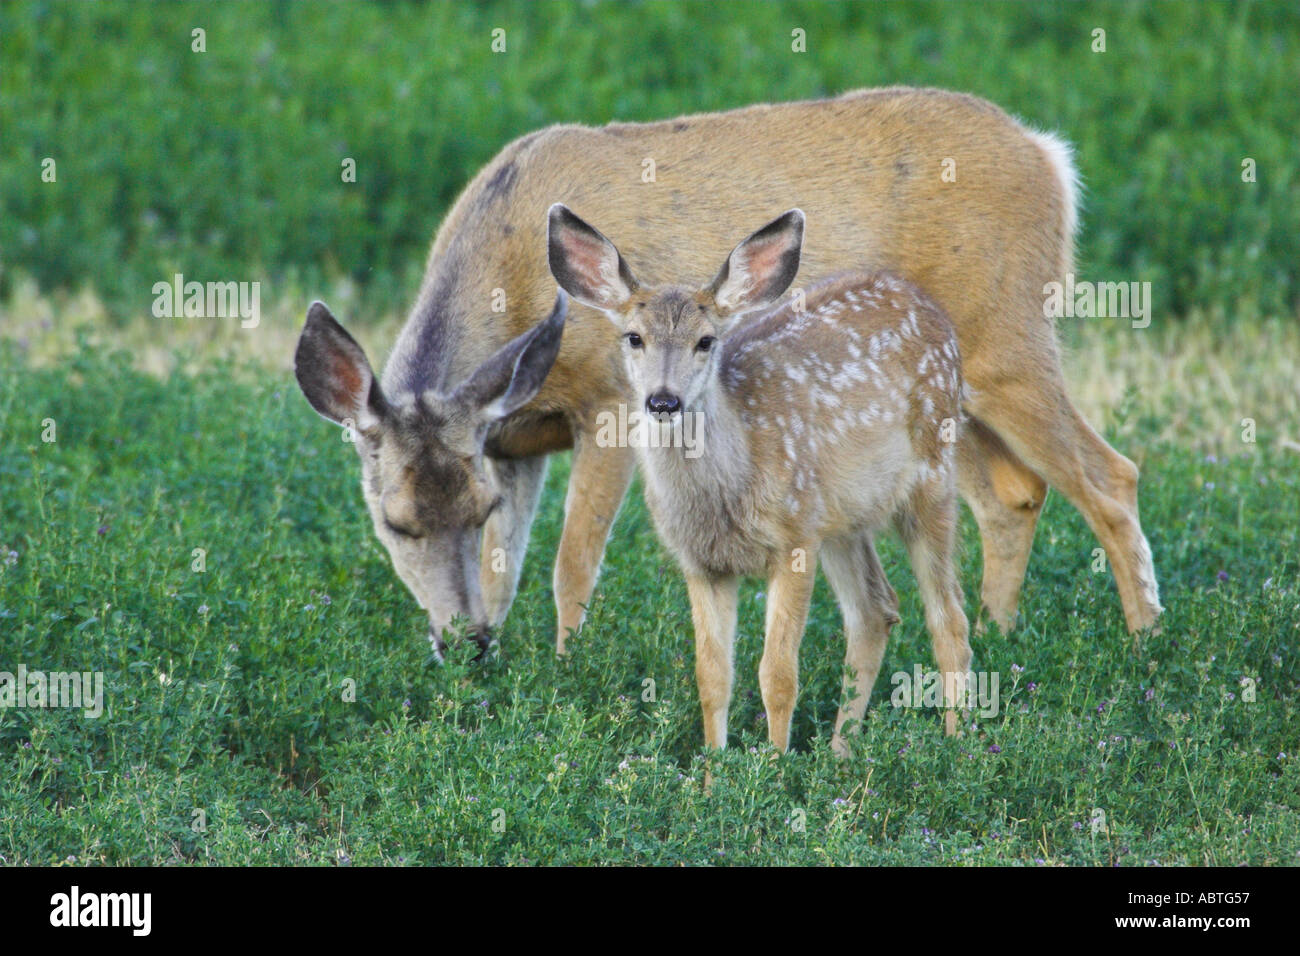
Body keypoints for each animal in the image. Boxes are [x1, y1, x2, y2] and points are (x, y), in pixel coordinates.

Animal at [293, 87, 1162, 662]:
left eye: (463, 513)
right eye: (395, 524)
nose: (464, 646)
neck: (513, 279)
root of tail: (1050, 158)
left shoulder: (608, 400)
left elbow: (572, 563)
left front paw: (567, 668)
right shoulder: (510, 436)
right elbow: (507, 567)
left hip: (1006, 333)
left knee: (1111, 474)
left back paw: (1143, 649)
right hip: (944, 392)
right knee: (1015, 493)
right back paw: (998, 638)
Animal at [548, 203, 972, 753]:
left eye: (706, 341)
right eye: (634, 337)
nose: (664, 401)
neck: (726, 491)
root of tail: (931, 307)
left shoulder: (793, 540)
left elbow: (777, 675)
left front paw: (770, 766)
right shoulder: (702, 562)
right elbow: (712, 677)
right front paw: (713, 769)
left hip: (930, 478)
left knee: (949, 621)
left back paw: (956, 747)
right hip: (838, 517)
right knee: (875, 613)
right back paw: (839, 754)